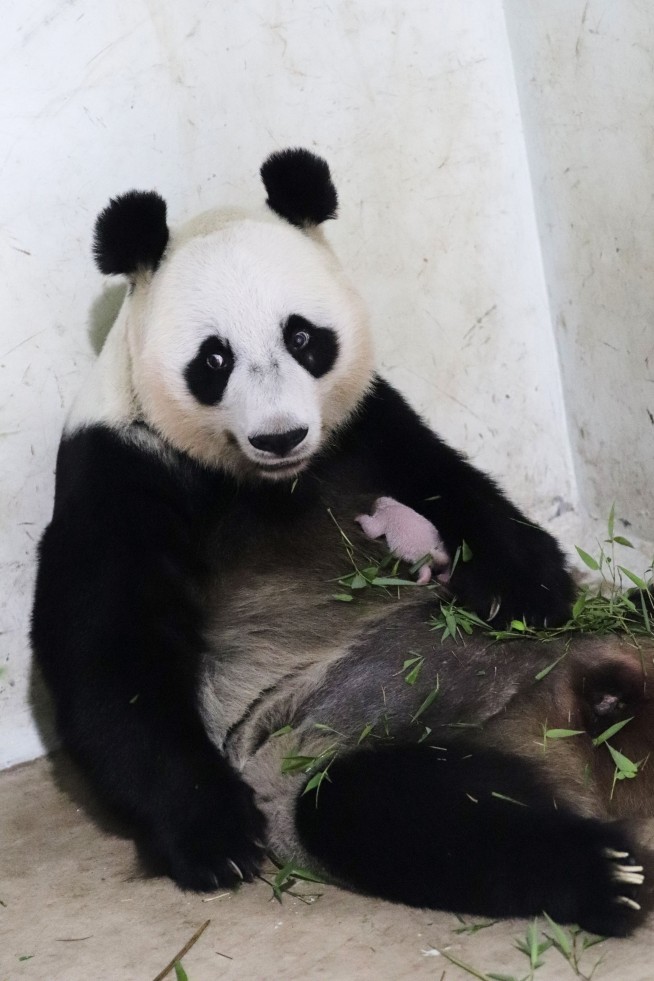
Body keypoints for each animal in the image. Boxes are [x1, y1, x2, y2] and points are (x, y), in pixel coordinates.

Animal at [32, 148, 654, 938]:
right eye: (213, 360)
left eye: (302, 337)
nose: (280, 435)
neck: (267, 485)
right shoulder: (121, 470)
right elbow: (110, 656)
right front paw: (215, 837)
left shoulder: (366, 427)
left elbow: (453, 486)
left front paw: (527, 590)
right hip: (341, 750)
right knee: (403, 814)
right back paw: (604, 872)